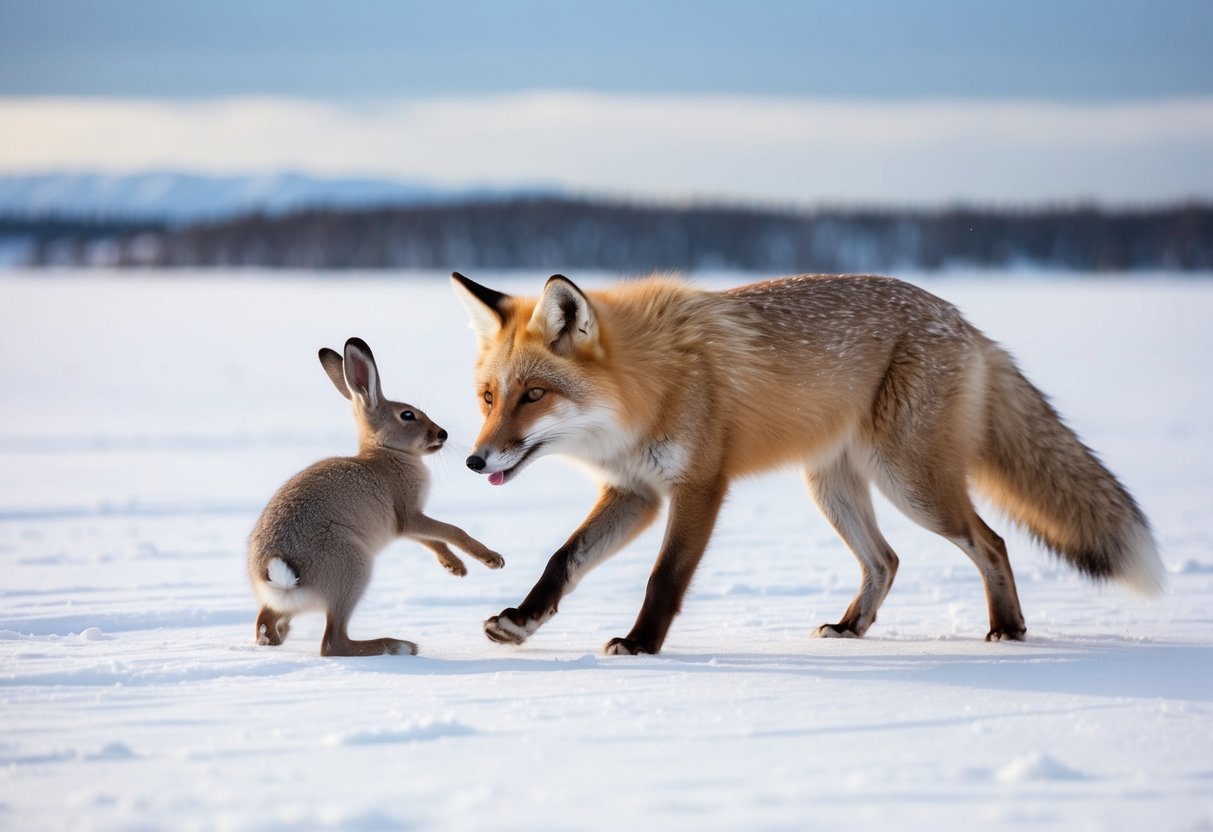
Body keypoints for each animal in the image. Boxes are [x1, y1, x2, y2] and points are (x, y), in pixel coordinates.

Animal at [450, 271, 1163, 655]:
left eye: (533, 395)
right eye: (488, 397)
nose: (474, 459)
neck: (653, 382)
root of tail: (961, 317)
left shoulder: (698, 485)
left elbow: (663, 579)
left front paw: (642, 647)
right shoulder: (636, 492)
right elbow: (562, 560)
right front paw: (521, 622)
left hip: (913, 486)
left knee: (991, 543)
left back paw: (1008, 630)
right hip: (833, 486)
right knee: (887, 560)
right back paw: (852, 627)